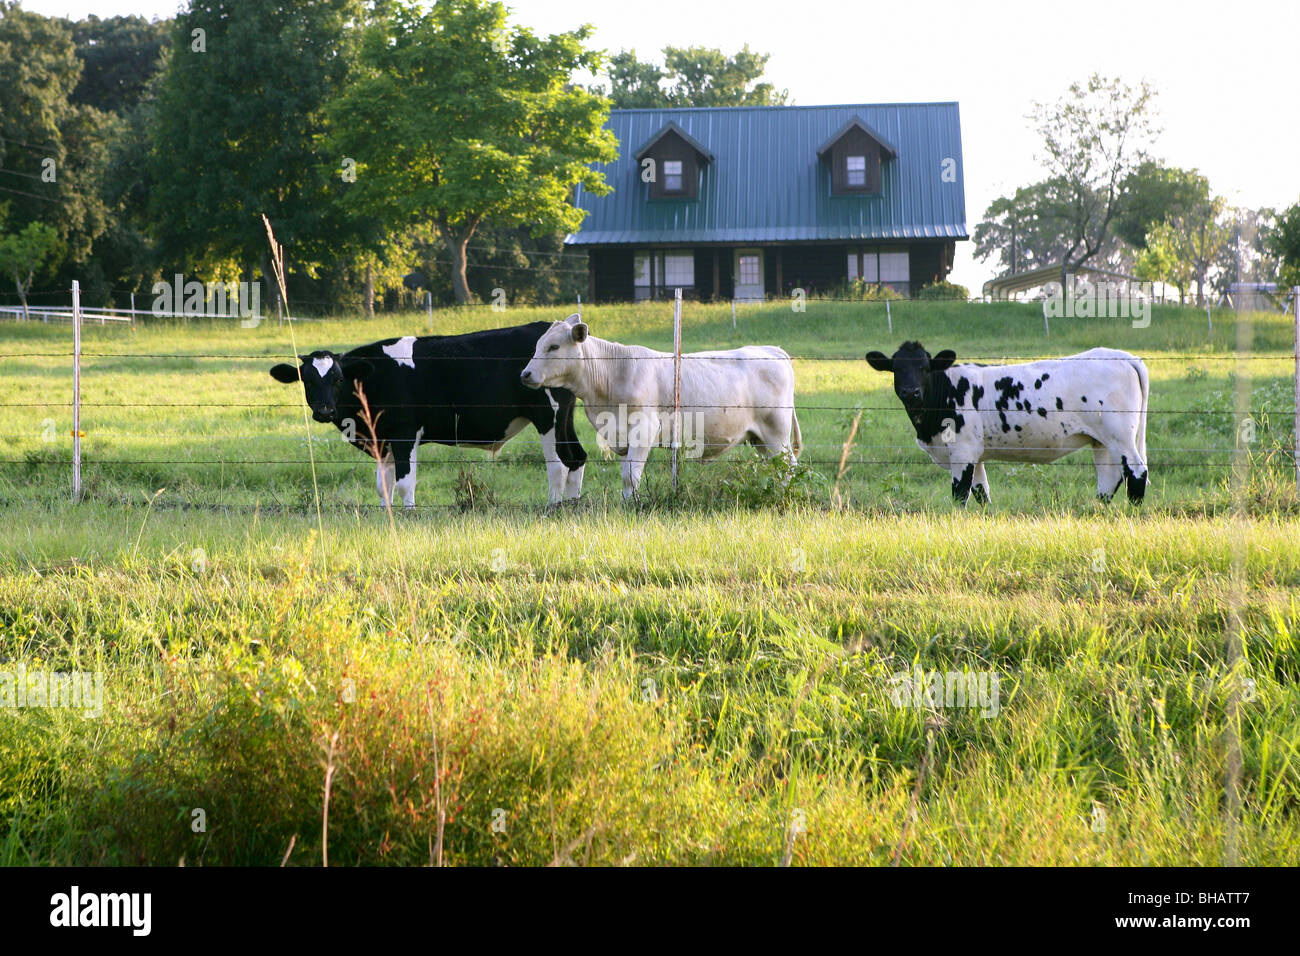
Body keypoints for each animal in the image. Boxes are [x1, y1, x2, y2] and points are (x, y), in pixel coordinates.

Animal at [269, 322, 587, 508]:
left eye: (337, 379)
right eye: (308, 381)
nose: (325, 410)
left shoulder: (404, 433)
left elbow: (404, 482)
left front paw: (408, 513)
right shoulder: (382, 440)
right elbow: (383, 486)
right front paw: (387, 512)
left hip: (548, 418)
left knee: (558, 465)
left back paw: (553, 506)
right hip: (565, 417)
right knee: (577, 458)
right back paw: (572, 504)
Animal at [519, 313, 801, 499]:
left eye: (554, 346)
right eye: (537, 344)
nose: (525, 374)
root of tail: (772, 350)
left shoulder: (644, 430)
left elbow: (631, 476)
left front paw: (633, 507)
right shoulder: (622, 438)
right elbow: (627, 475)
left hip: (777, 435)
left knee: (788, 467)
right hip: (760, 440)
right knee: (776, 468)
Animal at [864, 341, 1149, 504]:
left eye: (924, 368)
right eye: (896, 369)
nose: (911, 391)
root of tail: (1122, 355)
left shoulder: (962, 451)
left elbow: (959, 495)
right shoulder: (975, 455)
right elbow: (982, 493)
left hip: (1121, 436)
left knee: (1136, 472)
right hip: (1101, 441)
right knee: (1109, 479)